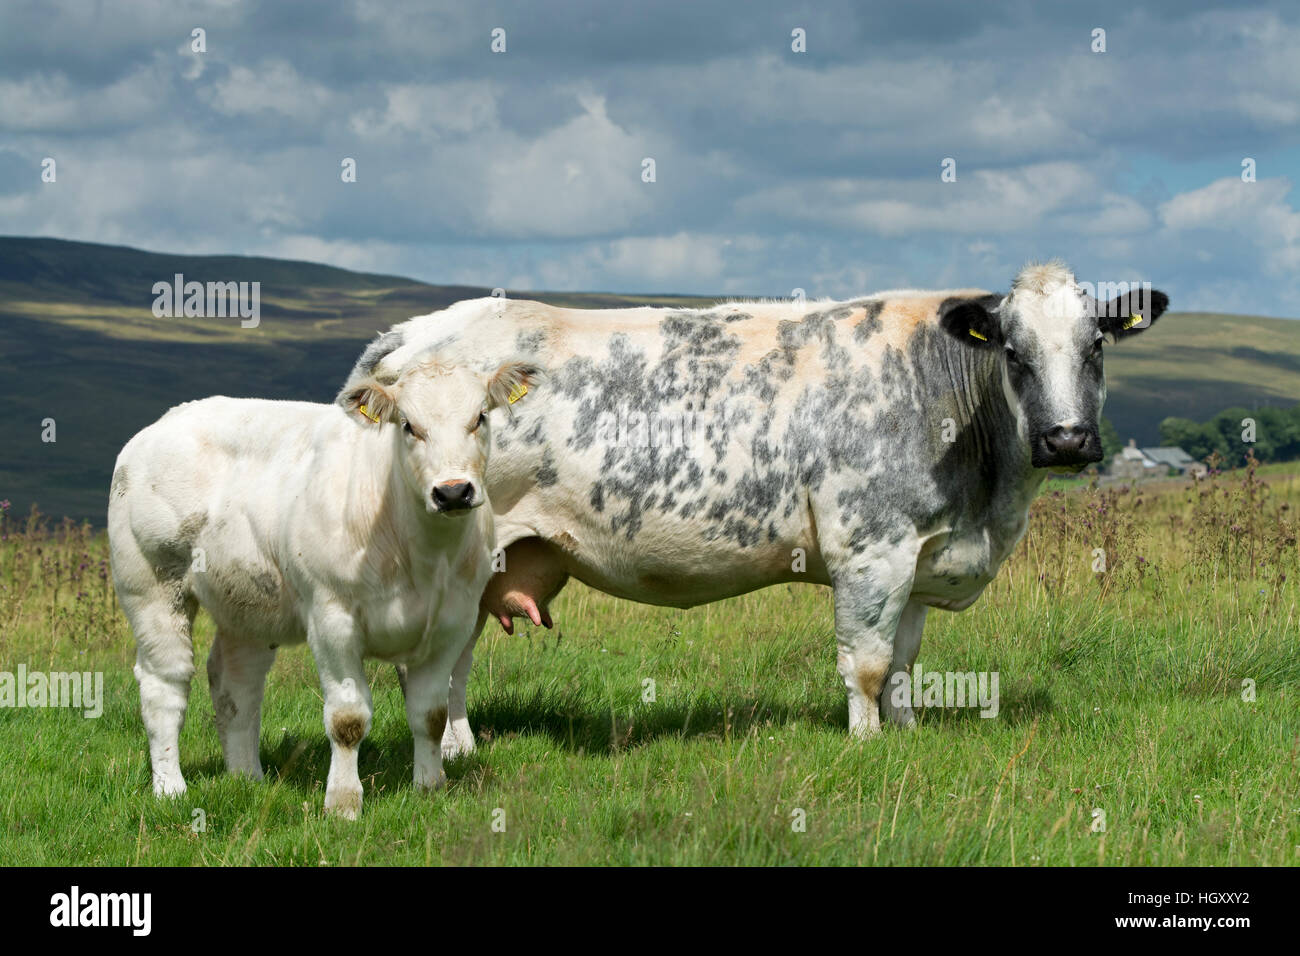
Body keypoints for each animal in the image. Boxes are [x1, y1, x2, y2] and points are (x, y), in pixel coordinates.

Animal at [108, 357, 540, 817]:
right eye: (408, 425)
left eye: (480, 417)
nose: (453, 492)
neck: (421, 553)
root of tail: (165, 421)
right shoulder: (332, 617)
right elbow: (347, 719)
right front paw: (344, 803)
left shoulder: (452, 622)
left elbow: (431, 714)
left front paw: (429, 788)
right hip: (152, 585)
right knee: (164, 683)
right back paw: (170, 787)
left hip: (248, 601)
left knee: (236, 684)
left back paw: (247, 777)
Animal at [339, 262, 1167, 749]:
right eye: (1014, 352)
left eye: (1095, 346)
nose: (1067, 438)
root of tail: (419, 329)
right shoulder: (870, 549)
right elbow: (868, 662)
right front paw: (867, 745)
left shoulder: (920, 553)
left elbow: (904, 660)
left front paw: (905, 734)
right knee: (439, 665)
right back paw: (455, 751)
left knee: (450, 664)